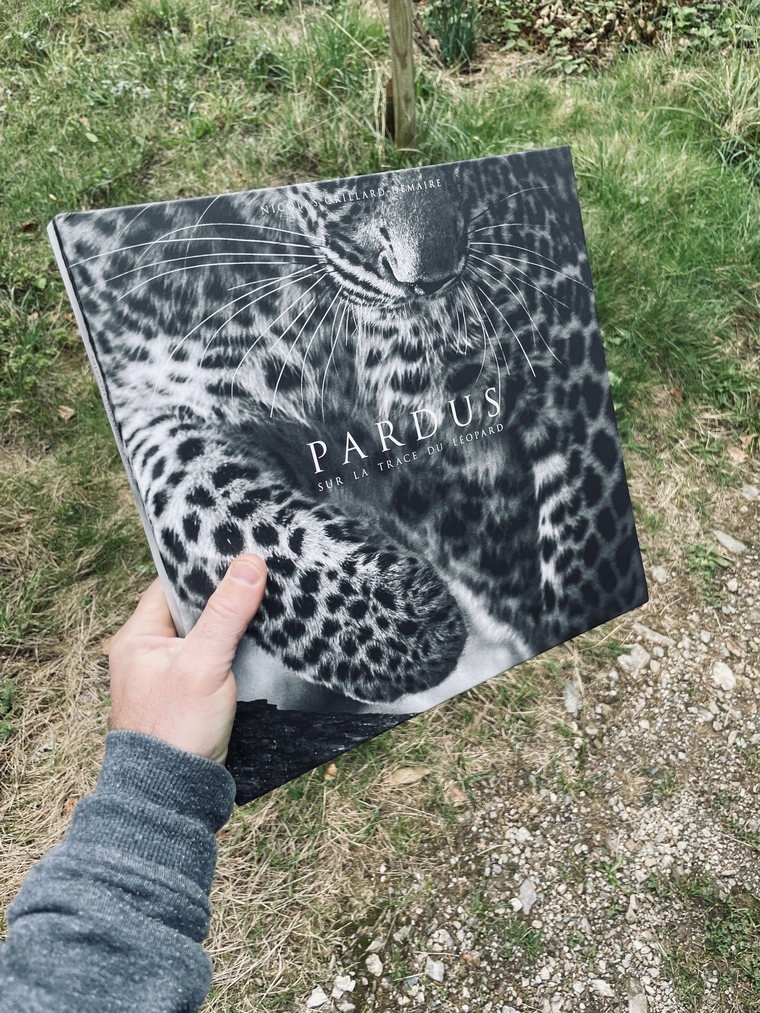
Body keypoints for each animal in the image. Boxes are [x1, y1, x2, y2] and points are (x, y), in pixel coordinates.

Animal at [52, 147, 648, 714]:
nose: (431, 278)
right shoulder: (150, 397)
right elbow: (209, 513)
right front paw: (402, 621)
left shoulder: (563, 362)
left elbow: (585, 537)